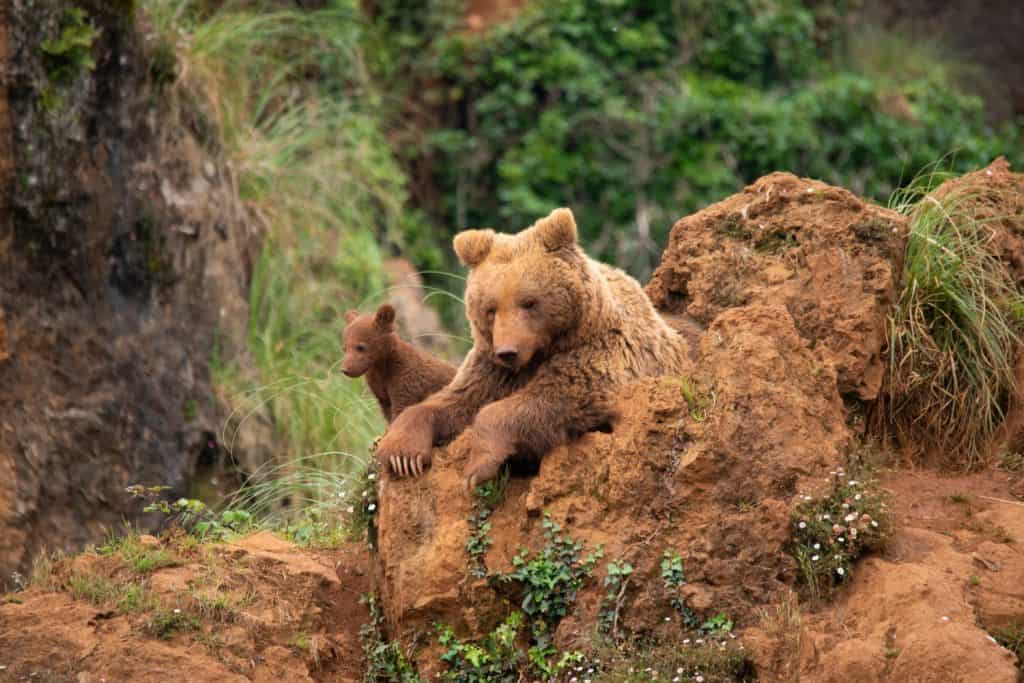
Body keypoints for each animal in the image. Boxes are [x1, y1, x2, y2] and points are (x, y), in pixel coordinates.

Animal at [374, 207, 690, 489]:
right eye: (491, 308)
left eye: (528, 302)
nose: (507, 351)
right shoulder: (491, 369)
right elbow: (455, 399)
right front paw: (401, 453)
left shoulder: (597, 356)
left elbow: (553, 400)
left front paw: (477, 466)